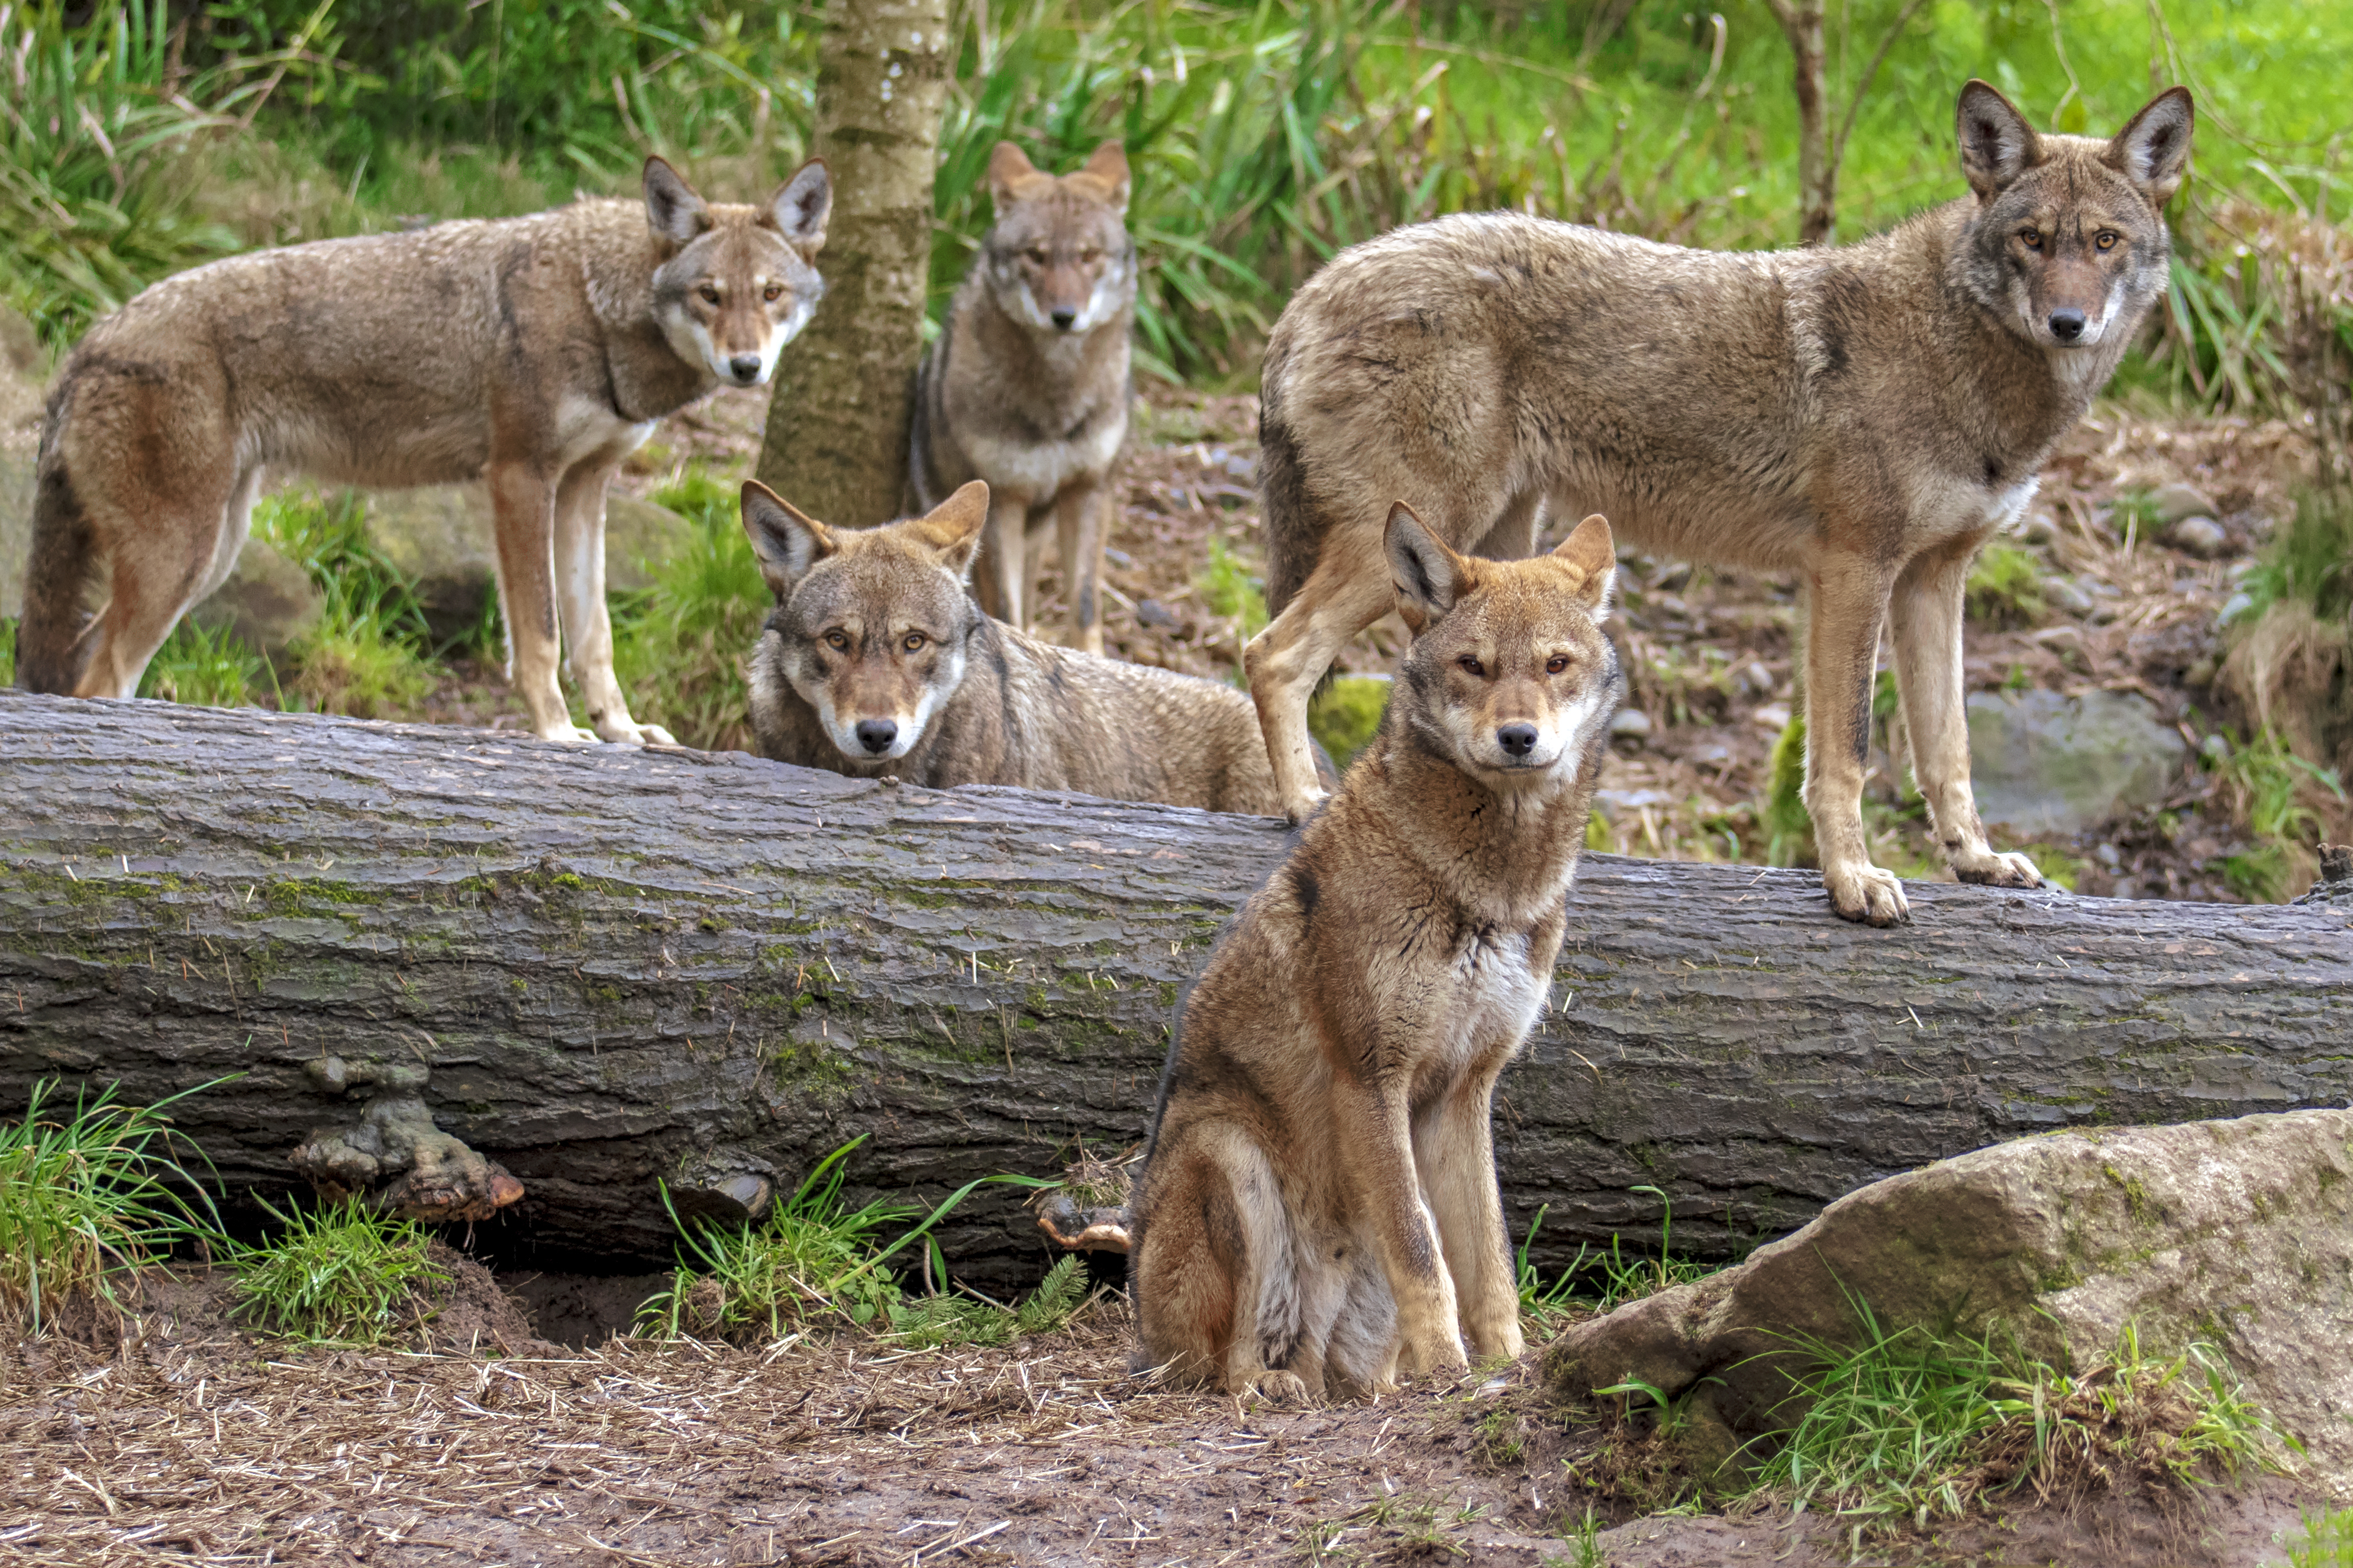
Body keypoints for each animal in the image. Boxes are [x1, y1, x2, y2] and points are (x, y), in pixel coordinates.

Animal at [17, 156, 831, 746]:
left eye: (771, 294)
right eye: (709, 295)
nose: (747, 368)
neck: (594, 302)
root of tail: (87, 343)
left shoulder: (586, 487)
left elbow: (593, 635)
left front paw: (622, 732)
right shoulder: (518, 477)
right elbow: (540, 634)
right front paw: (558, 733)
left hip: (212, 553)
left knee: (88, 661)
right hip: (182, 556)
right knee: (97, 678)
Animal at [908, 140, 1135, 654]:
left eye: (1088, 255)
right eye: (1036, 255)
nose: (1064, 316)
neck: (1056, 399)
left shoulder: (1088, 491)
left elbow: (1085, 603)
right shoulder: (1001, 504)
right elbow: (1007, 612)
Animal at [1128, 505, 1622, 1399]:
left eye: (1555, 664)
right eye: (1473, 665)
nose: (1519, 736)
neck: (1489, 893)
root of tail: (1140, 1335)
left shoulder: (1464, 1090)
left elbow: (1486, 1259)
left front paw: (1507, 1363)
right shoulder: (1370, 1077)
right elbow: (1424, 1250)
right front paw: (1452, 1368)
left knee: (1343, 1371)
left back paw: (1371, 1388)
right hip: (1230, 1153)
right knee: (1227, 1365)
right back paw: (1269, 1385)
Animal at [1245, 80, 2193, 925]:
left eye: (2103, 241)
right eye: (2032, 239)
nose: (2068, 322)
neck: (1962, 358)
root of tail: (1307, 290)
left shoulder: (1934, 576)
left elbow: (1947, 745)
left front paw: (1975, 860)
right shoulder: (1853, 569)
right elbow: (1847, 751)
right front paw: (1851, 880)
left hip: (1501, 548)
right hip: (1417, 534)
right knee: (1271, 652)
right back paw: (1302, 802)